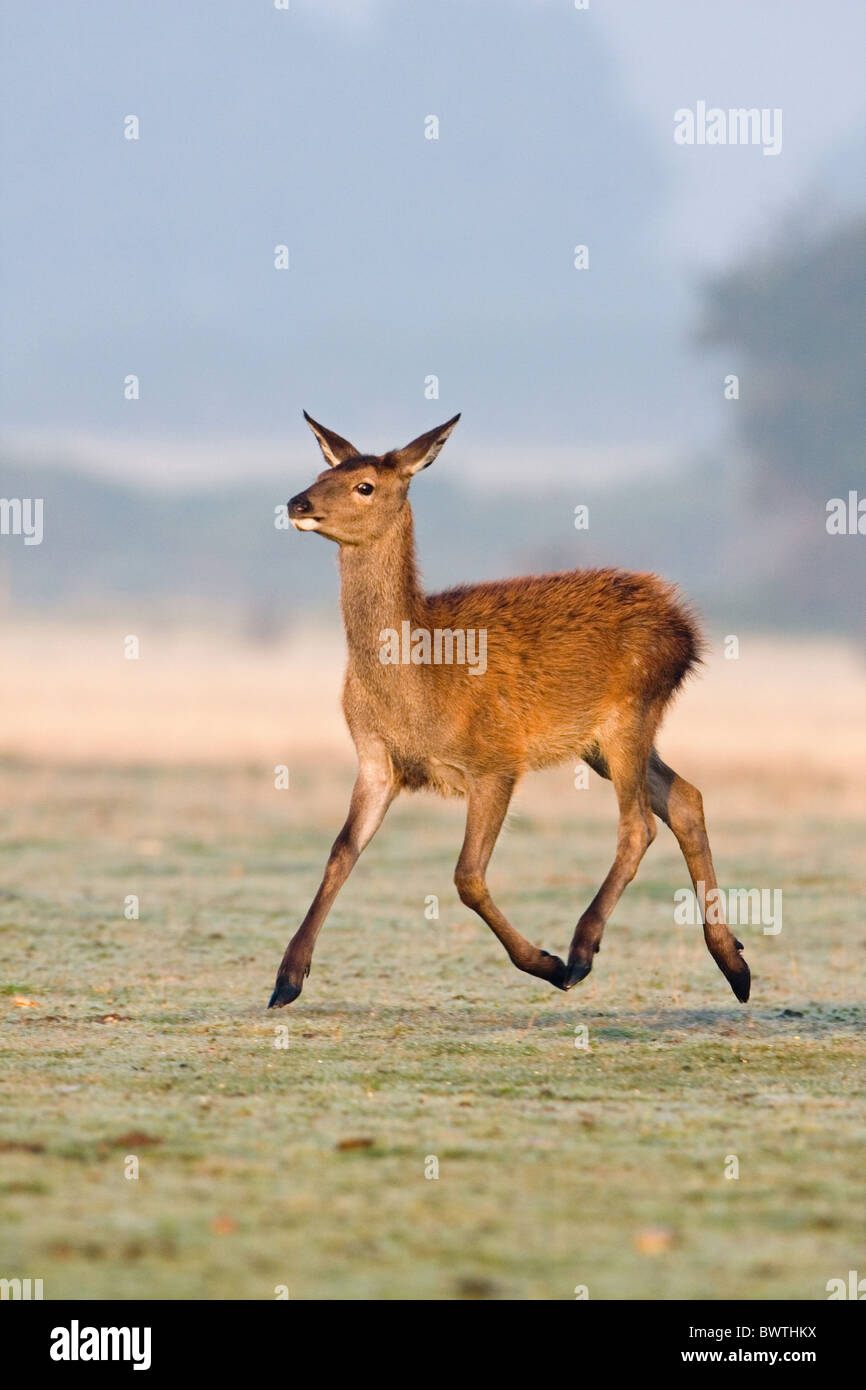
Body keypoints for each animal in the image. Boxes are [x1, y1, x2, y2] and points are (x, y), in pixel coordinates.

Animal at [268, 412, 751, 1009]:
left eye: (365, 486)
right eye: (321, 472)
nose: (297, 503)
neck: (417, 684)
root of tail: (686, 628)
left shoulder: (495, 761)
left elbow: (467, 875)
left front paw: (545, 963)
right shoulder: (377, 760)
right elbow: (341, 851)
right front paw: (286, 979)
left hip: (631, 712)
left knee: (638, 824)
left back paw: (581, 952)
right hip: (600, 741)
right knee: (685, 798)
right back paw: (735, 965)